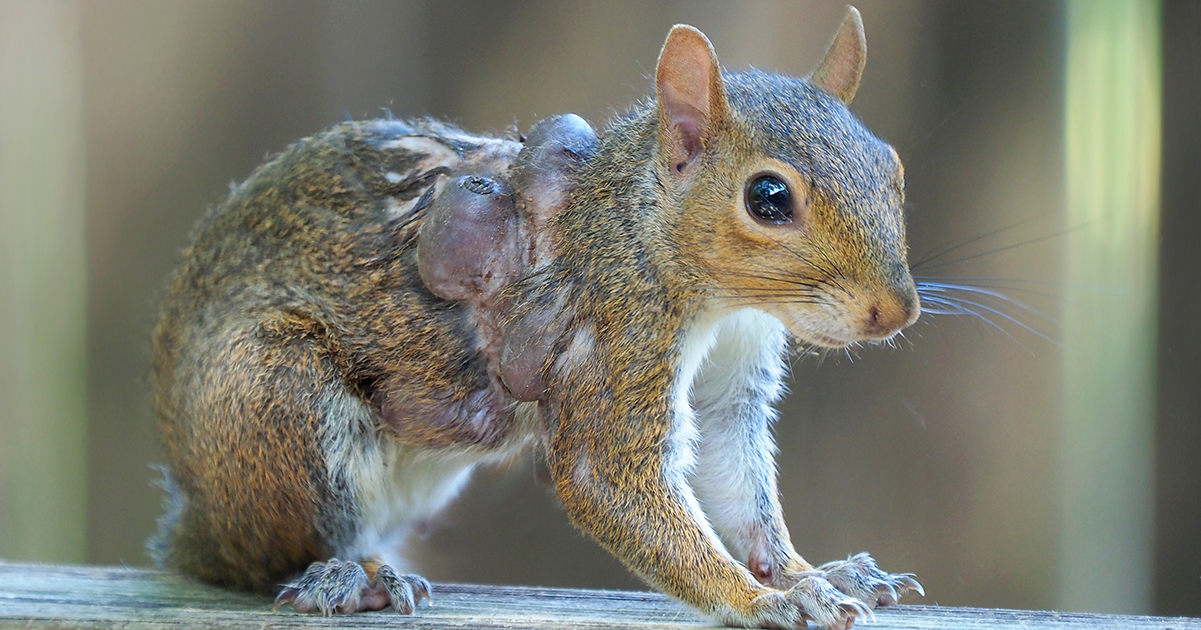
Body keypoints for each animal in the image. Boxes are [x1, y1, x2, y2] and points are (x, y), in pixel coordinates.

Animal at [149, 6, 922, 630]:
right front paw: (763, 601)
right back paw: (347, 576)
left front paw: (807, 574)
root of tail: (196, 515)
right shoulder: (618, 334)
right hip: (276, 393)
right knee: (261, 558)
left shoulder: (734, 377)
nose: (895, 312)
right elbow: (605, 480)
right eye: (767, 197)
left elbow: (740, 486)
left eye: (892, 166)